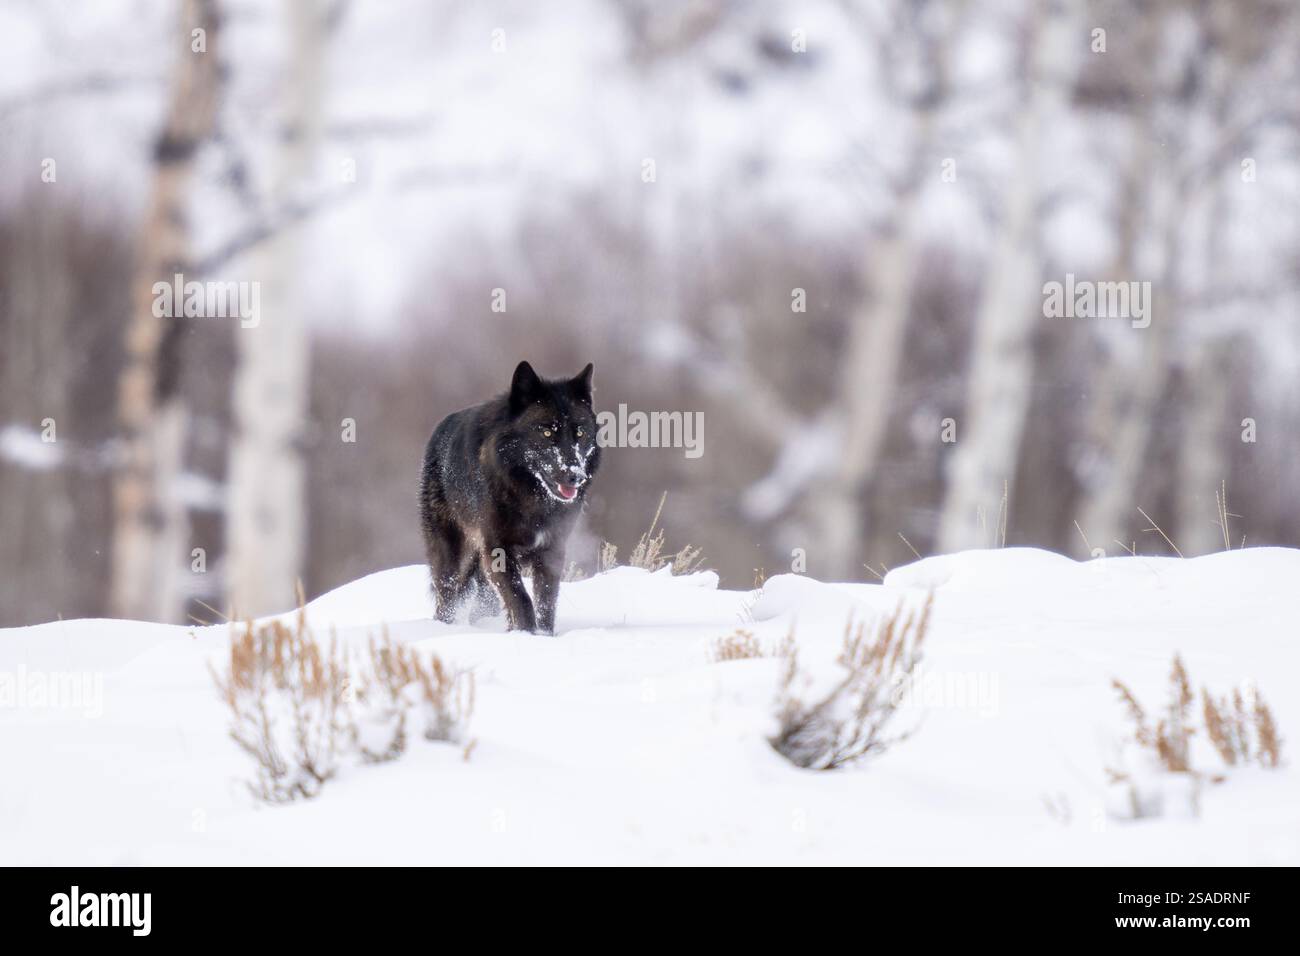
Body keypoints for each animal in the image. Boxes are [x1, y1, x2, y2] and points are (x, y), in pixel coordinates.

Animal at [419, 361, 600, 634]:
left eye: (579, 433)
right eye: (547, 433)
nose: (575, 476)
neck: (530, 496)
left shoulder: (552, 550)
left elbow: (546, 602)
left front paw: (543, 635)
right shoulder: (498, 550)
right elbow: (521, 599)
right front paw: (526, 635)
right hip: (452, 556)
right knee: (446, 598)